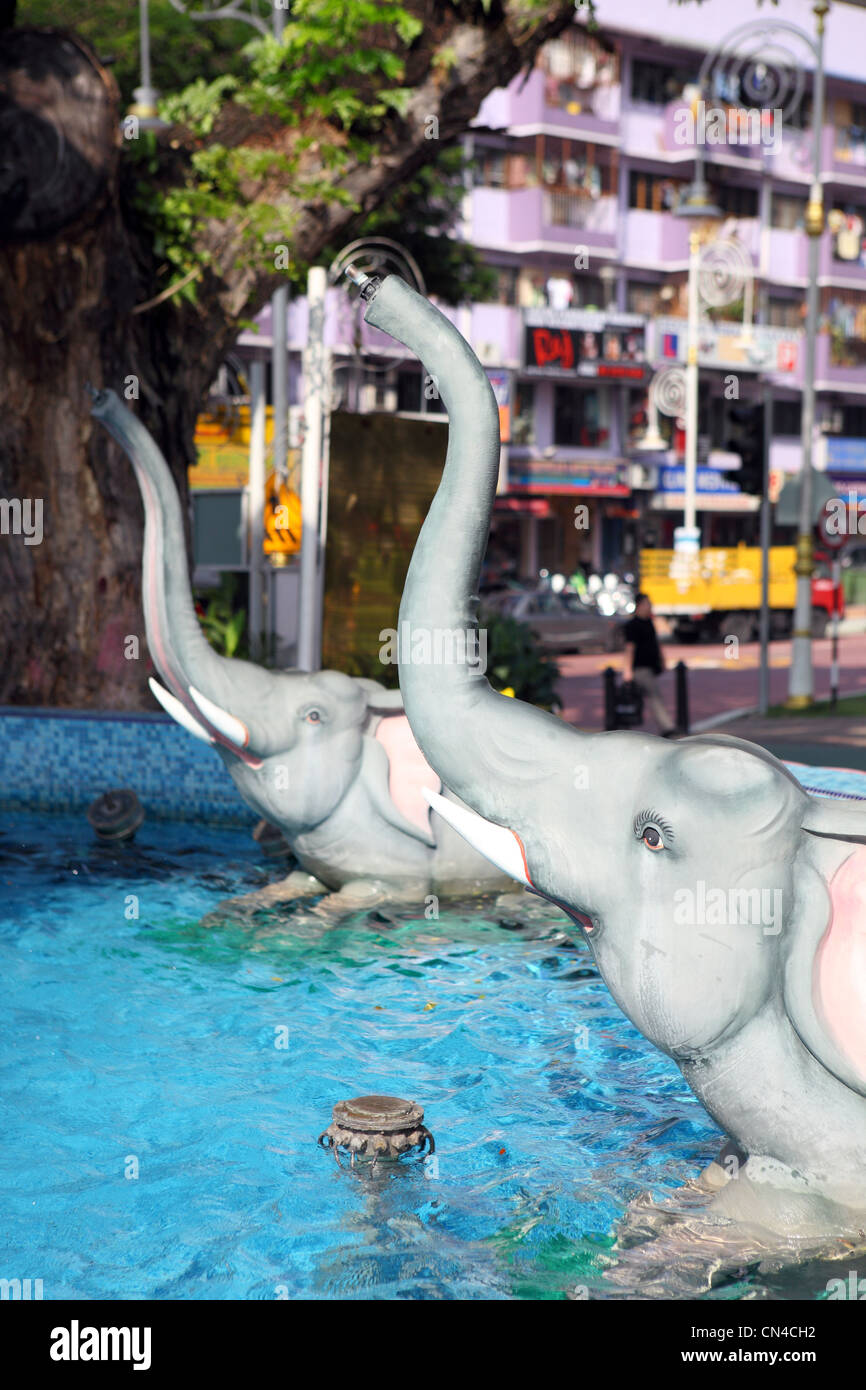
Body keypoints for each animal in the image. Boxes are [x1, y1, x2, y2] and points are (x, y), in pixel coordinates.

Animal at [89, 388, 513, 918]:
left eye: (313, 717)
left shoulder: (398, 871)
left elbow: (345, 901)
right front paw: (225, 916)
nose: (101, 400)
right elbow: (291, 882)